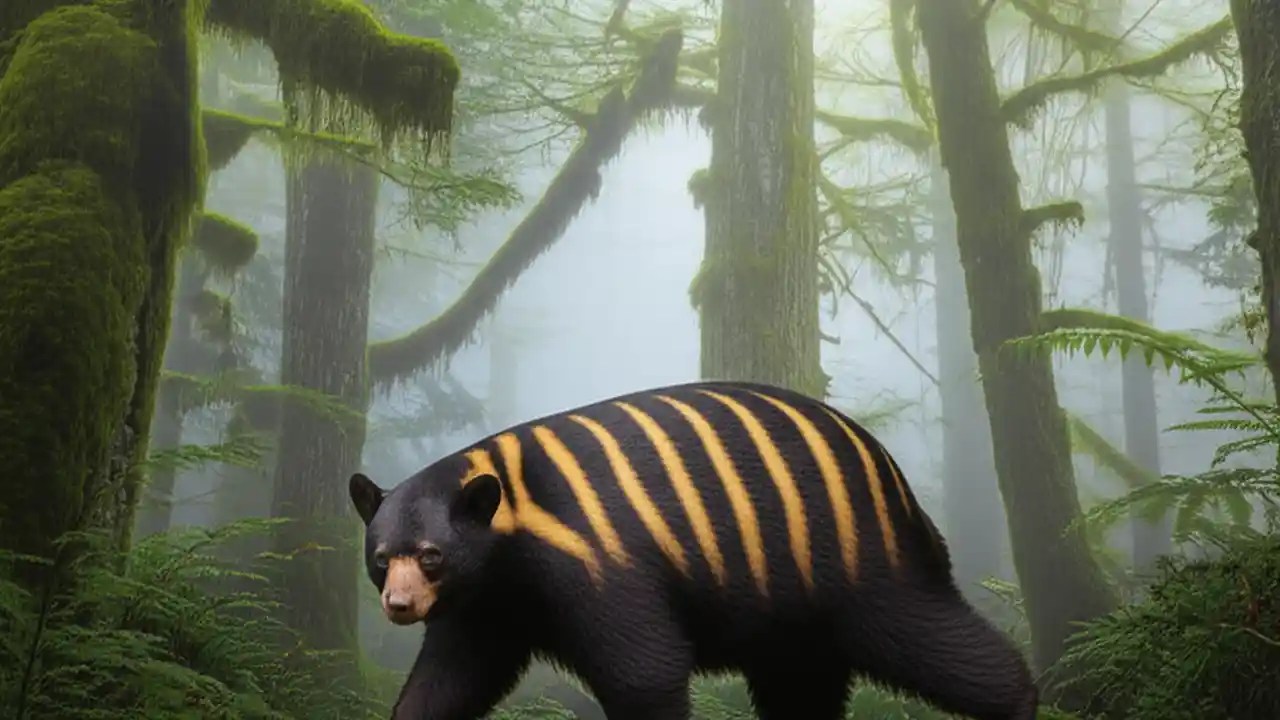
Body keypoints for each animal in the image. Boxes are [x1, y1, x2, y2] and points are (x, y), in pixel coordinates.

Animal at [349, 380, 1038, 720]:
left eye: (431, 554)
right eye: (382, 560)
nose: (399, 605)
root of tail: (893, 472)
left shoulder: (598, 557)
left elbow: (646, 669)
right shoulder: (489, 602)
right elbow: (449, 680)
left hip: (854, 558)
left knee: (929, 639)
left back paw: (1020, 699)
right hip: (793, 611)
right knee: (801, 686)